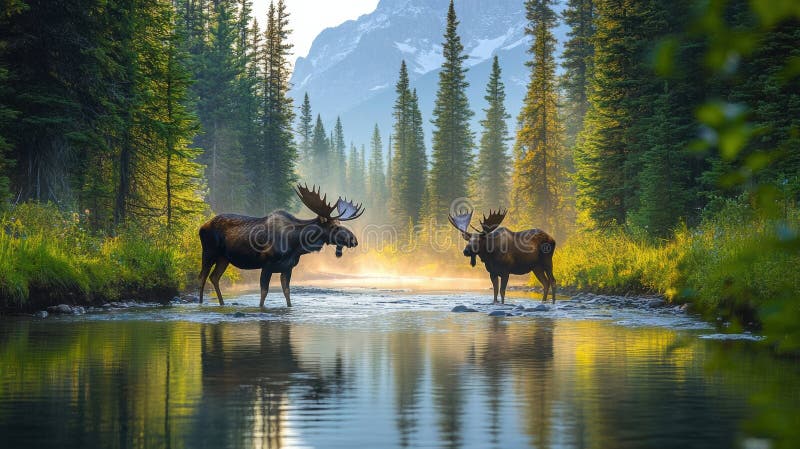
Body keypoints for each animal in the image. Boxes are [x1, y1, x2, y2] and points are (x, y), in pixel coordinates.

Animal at [198, 184, 364, 308]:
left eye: (340, 223)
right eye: (334, 227)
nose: (354, 240)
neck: (295, 245)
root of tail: (201, 227)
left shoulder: (287, 267)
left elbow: (287, 292)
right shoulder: (267, 265)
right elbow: (264, 292)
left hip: (224, 258)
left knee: (214, 277)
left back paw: (222, 303)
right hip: (209, 252)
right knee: (202, 277)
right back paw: (200, 303)